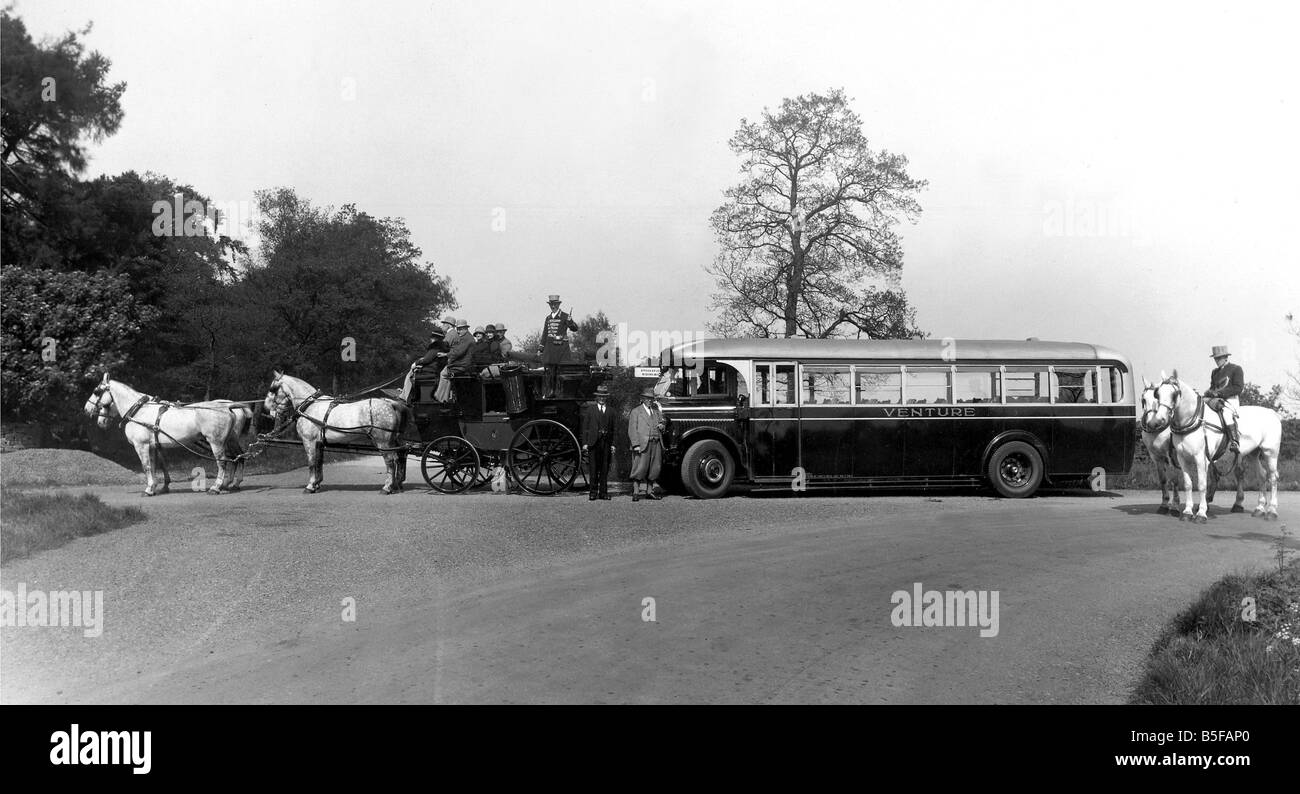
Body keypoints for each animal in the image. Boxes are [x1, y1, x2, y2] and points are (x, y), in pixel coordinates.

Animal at [81, 374, 244, 496]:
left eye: (96, 391)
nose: (86, 410)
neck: (140, 411)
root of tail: (228, 407)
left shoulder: (141, 446)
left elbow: (146, 466)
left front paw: (148, 489)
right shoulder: (152, 446)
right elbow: (155, 466)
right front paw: (155, 487)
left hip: (216, 442)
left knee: (223, 462)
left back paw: (216, 487)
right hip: (229, 440)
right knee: (238, 457)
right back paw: (233, 483)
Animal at [261, 371, 408, 493]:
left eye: (273, 389)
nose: (266, 408)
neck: (310, 406)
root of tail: (390, 403)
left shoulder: (309, 441)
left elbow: (311, 462)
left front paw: (310, 486)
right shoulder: (319, 443)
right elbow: (319, 462)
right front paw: (317, 484)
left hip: (382, 441)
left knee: (390, 460)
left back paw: (387, 487)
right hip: (392, 440)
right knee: (399, 457)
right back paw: (396, 485)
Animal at [1144, 379, 1185, 514]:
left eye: (1156, 398)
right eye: (1143, 399)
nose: (1152, 423)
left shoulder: (1173, 457)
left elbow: (1175, 480)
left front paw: (1175, 506)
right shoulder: (1157, 458)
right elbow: (1163, 479)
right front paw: (1164, 504)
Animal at [1149, 371, 1279, 522]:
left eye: (1174, 394)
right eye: (1157, 394)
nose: (1159, 420)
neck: (1193, 421)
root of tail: (1273, 413)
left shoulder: (1201, 458)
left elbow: (1201, 485)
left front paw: (1201, 513)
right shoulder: (1182, 458)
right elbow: (1188, 484)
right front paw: (1187, 512)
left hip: (1270, 453)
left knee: (1273, 478)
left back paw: (1272, 511)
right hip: (1254, 454)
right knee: (1262, 476)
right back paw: (1259, 508)